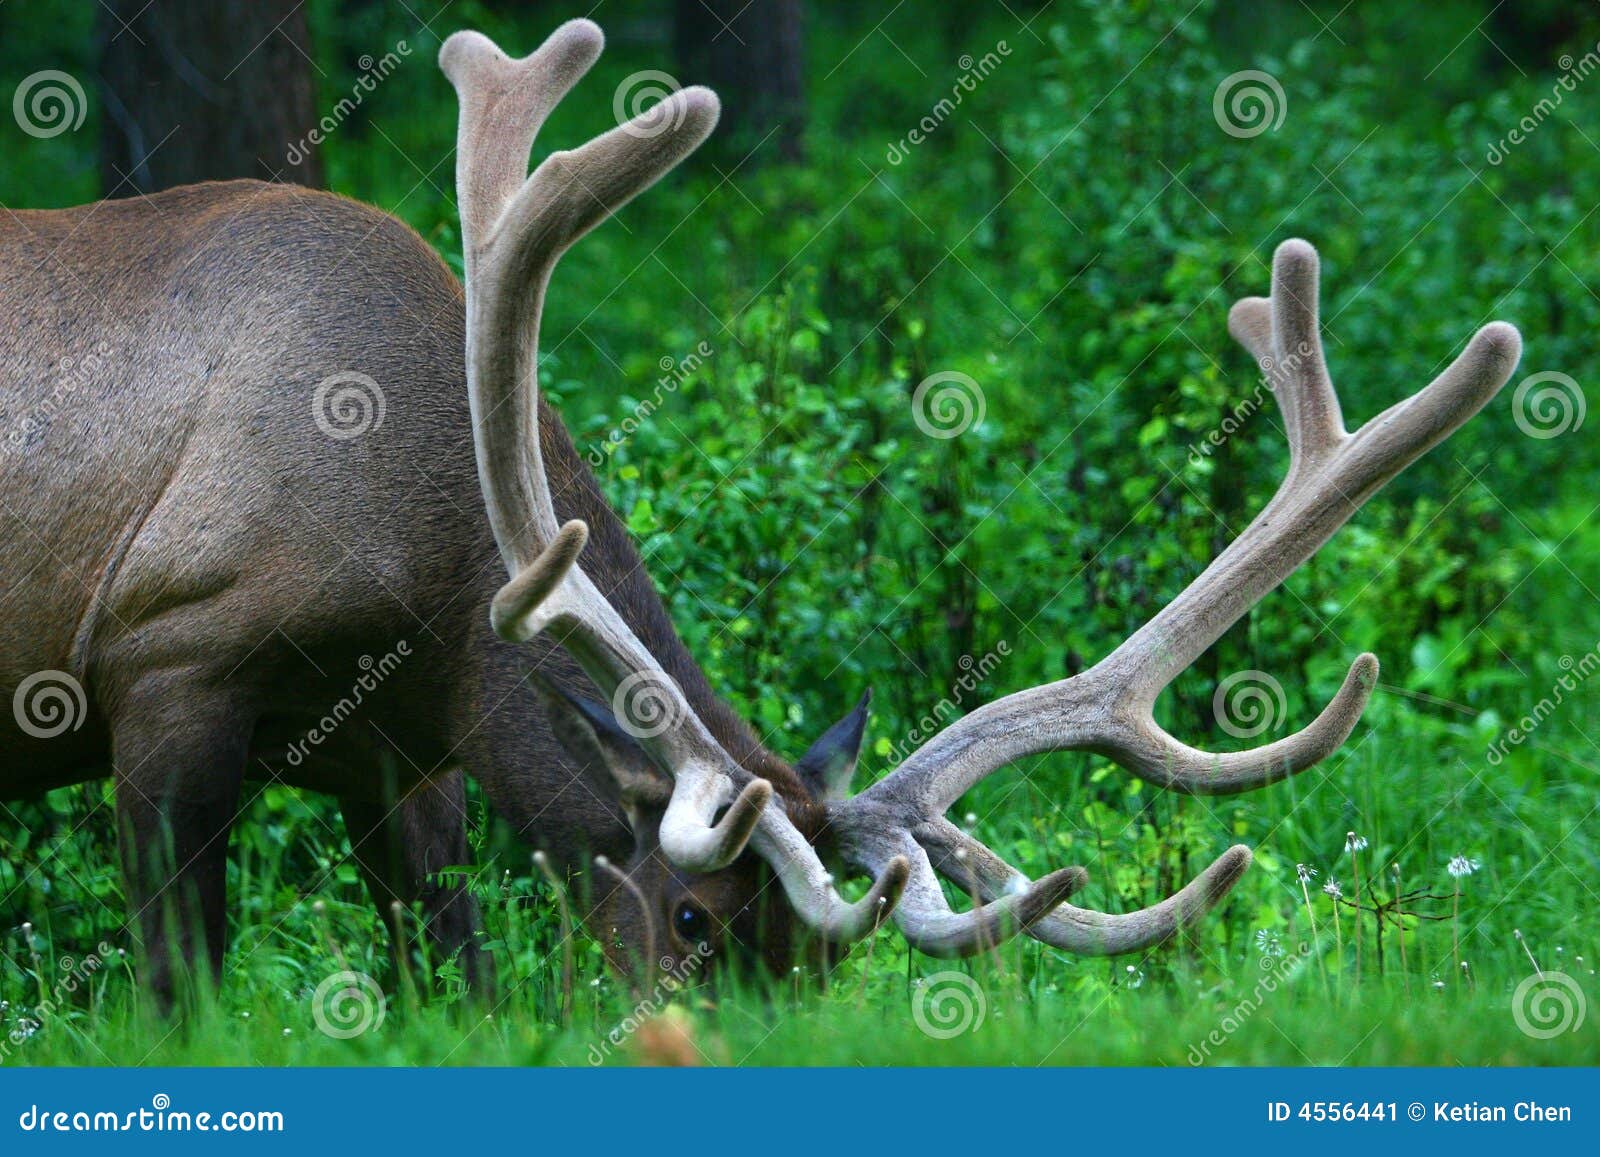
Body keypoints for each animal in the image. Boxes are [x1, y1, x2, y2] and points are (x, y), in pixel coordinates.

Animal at [0, 19, 1521, 1010]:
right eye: (690, 912)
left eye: (824, 963)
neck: (425, 580)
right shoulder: (166, 661)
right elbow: (180, 988)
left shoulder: (402, 758)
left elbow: (460, 976)